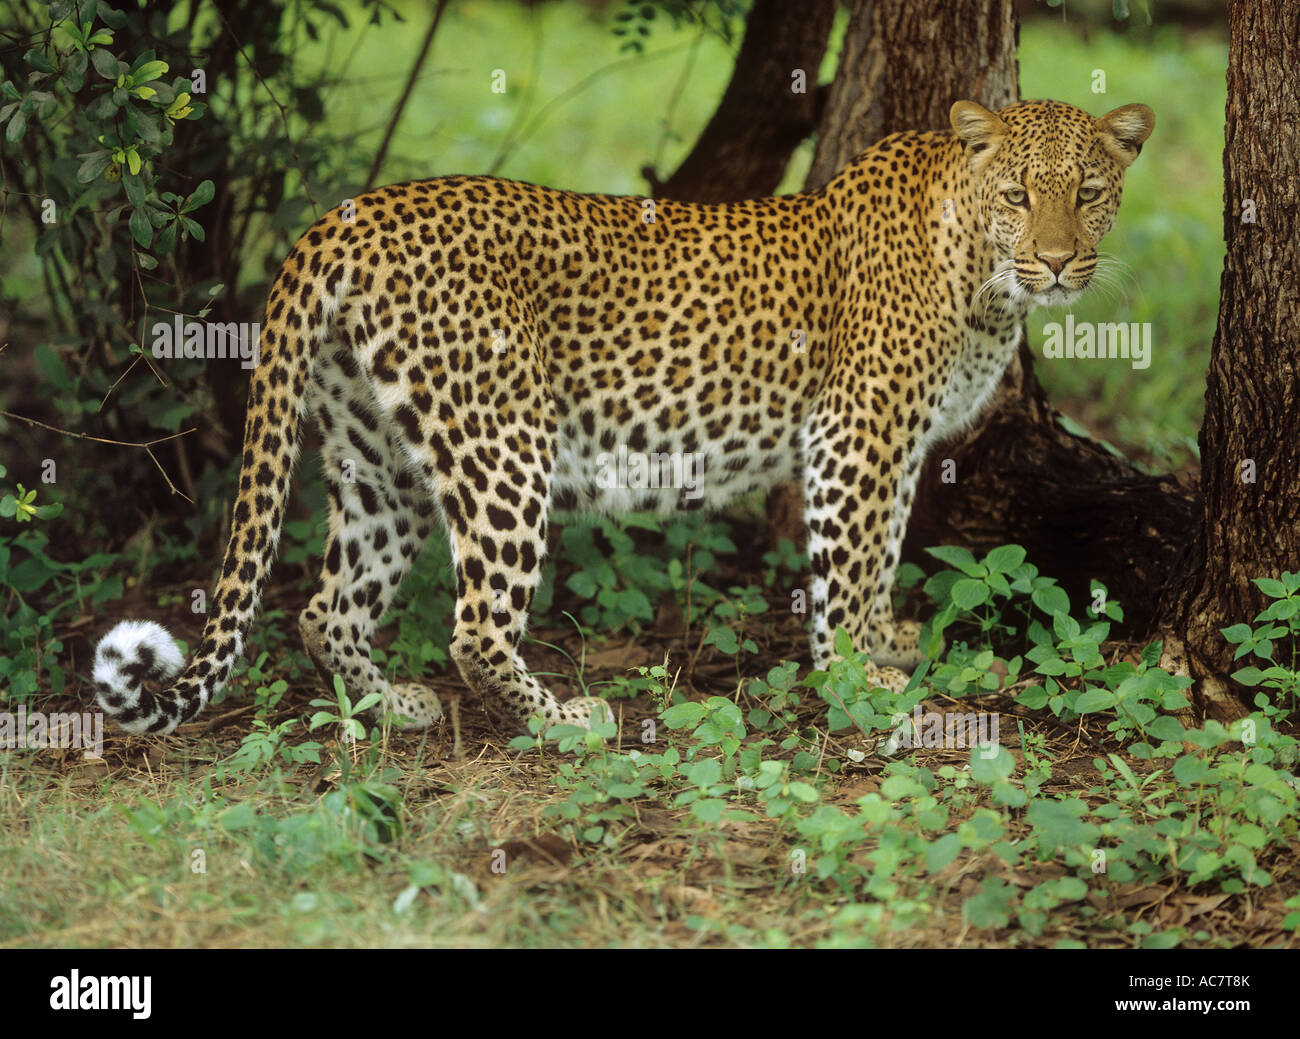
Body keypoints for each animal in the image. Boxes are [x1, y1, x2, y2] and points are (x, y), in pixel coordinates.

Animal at [92, 98, 1153, 737]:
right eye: (1018, 194)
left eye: (1088, 192)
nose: (1059, 261)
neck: (984, 281)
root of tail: (343, 218)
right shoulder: (860, 431)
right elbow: (850, 562)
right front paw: (855, 674)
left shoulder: (897, 444)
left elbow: (885, 549)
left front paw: (884, 642)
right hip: (502, 441)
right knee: (476, 624)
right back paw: (564, 719)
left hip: (375, 453)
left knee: (327, 605)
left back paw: (393, 705)